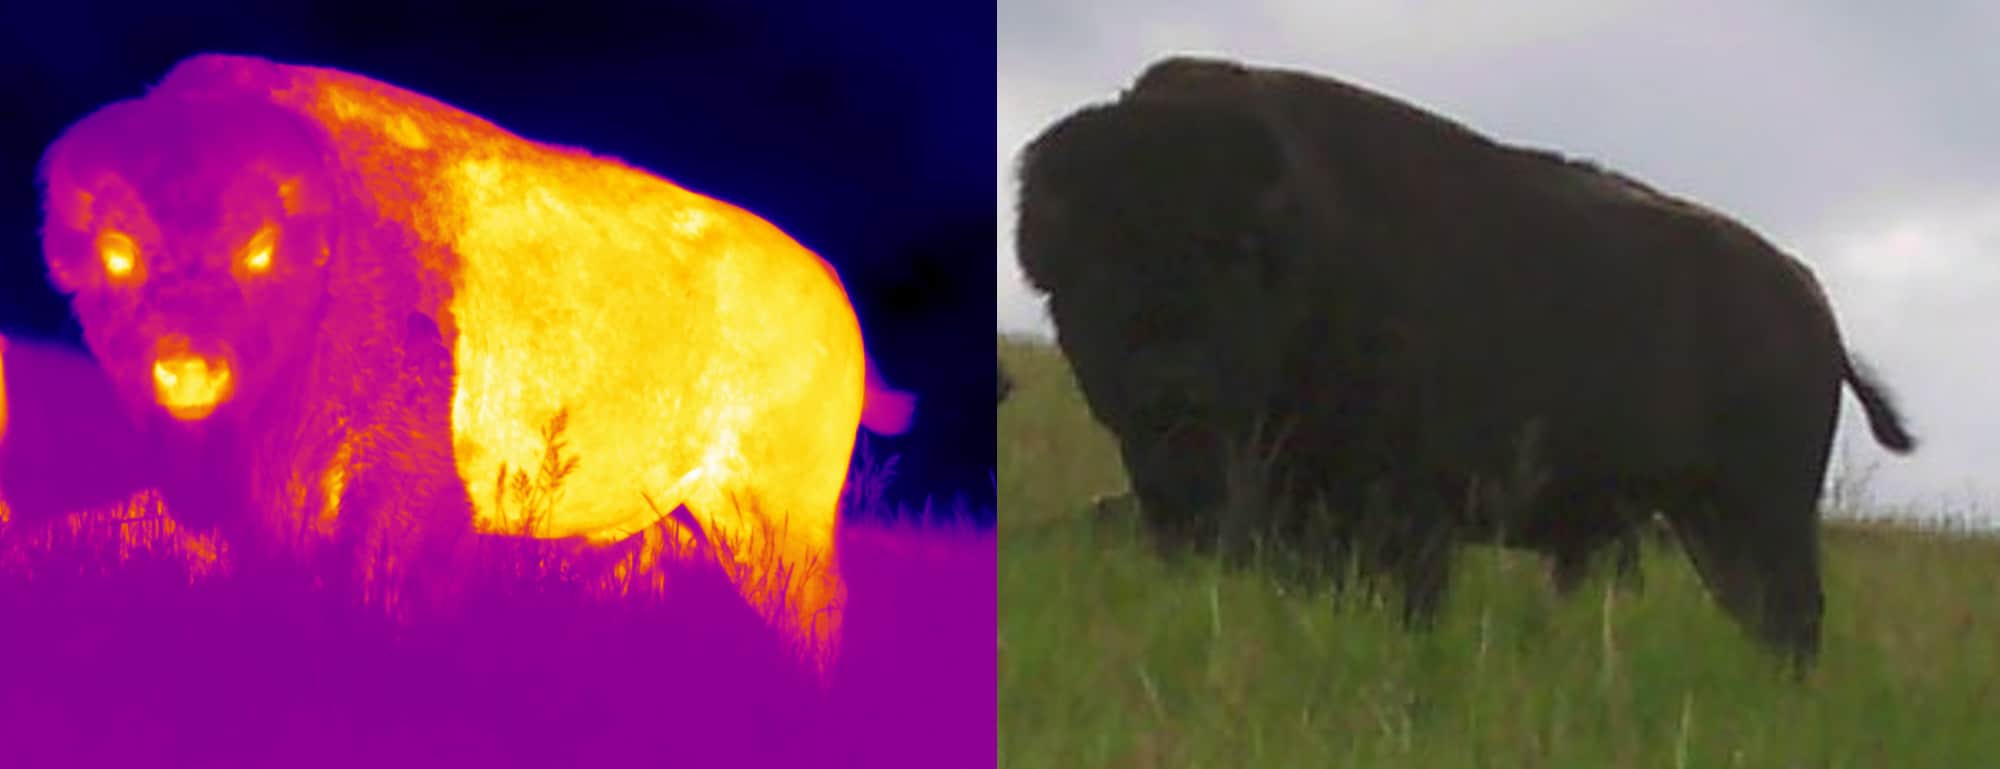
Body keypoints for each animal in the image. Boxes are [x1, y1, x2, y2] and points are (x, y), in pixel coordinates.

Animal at [1014, 55, 1915, 669]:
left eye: (1231, 256)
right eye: (1087, 269)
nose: (1172, 388)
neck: (1307, 253)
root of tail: (1814, 308)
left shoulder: (1405, 518)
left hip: (1757, 519)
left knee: (1788, 620)